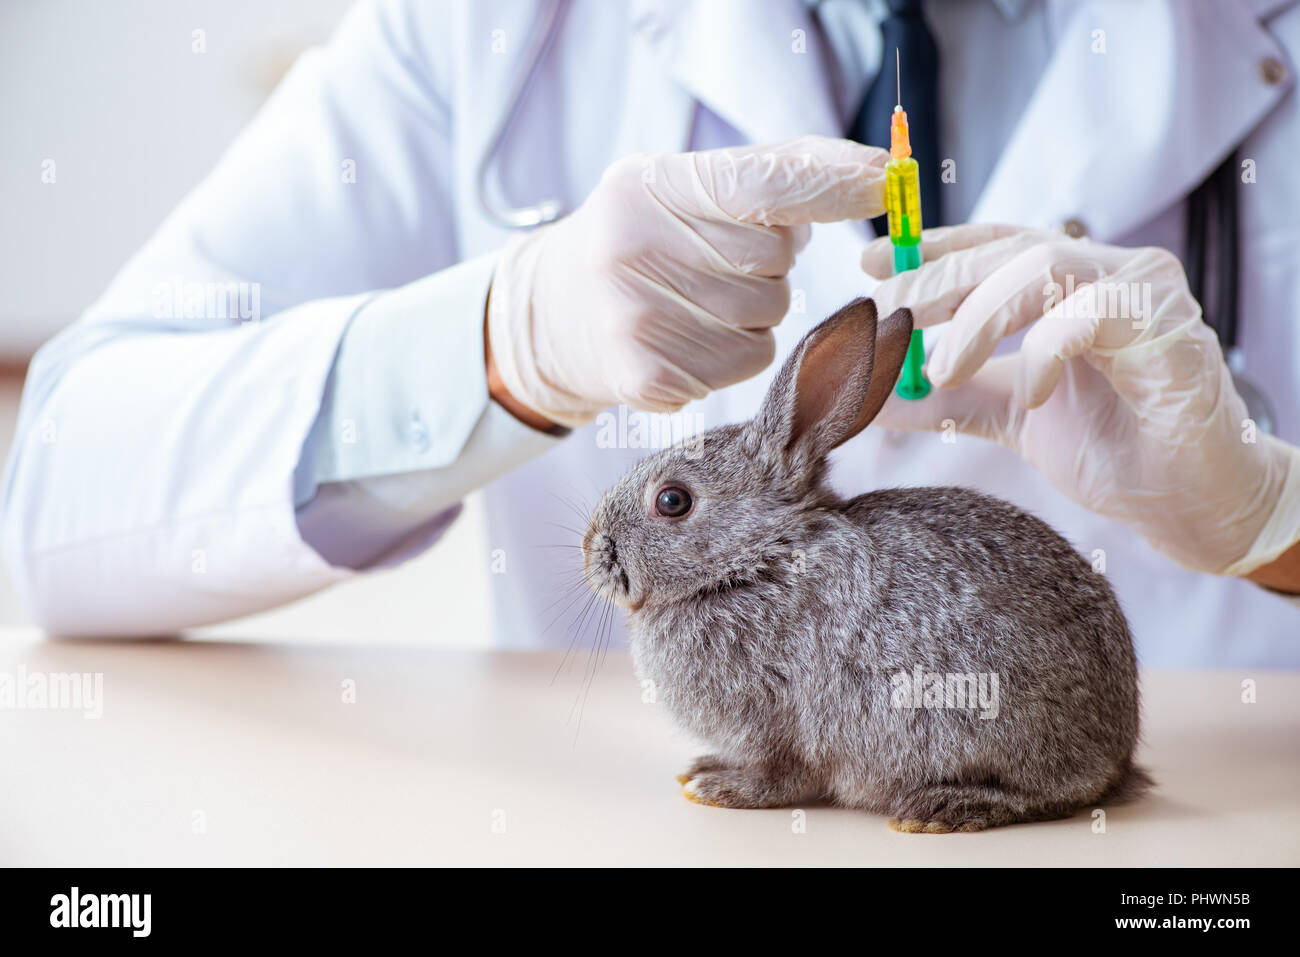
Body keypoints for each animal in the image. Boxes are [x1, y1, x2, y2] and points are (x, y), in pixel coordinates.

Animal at [581, 297, 1152, 832]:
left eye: (672, 501)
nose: (592, 551)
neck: (758, 557)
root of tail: (1117, 753)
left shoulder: (776, 722)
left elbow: (777, 775)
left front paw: (718, 787)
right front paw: (703, 767)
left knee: (1052, 793)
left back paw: (943, 808)